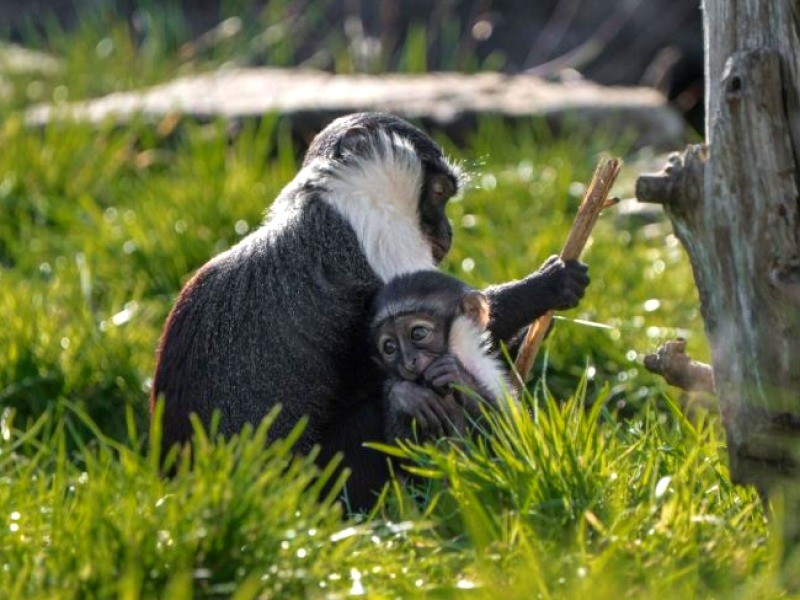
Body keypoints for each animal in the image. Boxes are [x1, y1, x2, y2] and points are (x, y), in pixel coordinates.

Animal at [369, 270, 515, 444]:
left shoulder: (489, 372)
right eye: (389, 347)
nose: (409, 362)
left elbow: (511, 438)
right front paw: (405, 396)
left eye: (418, 333)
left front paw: (457, 376)